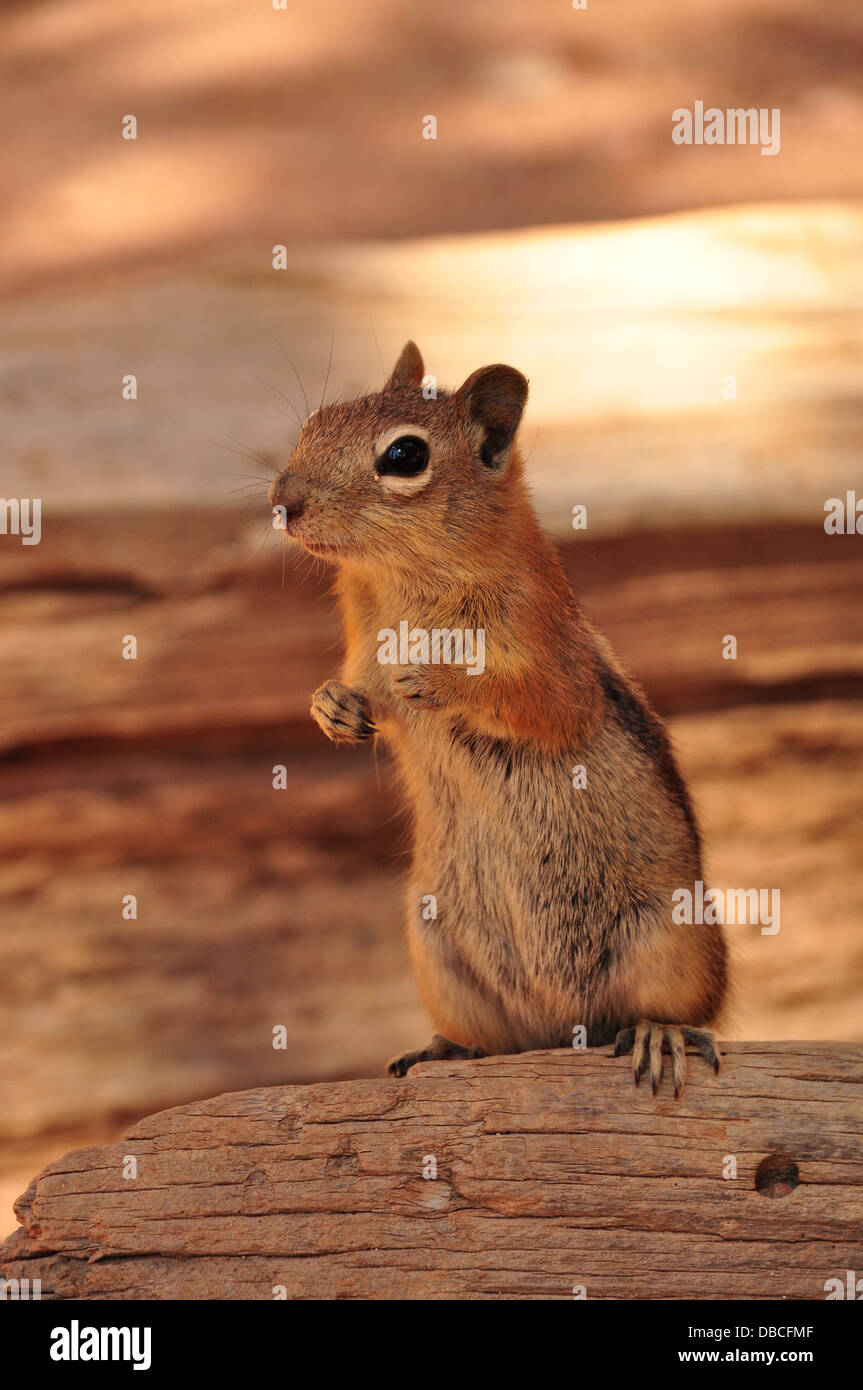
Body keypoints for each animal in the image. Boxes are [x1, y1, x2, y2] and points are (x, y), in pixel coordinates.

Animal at [269, 341, 728, 1097]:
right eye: (314, 421)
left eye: (404, 456)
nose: (283, 502)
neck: (402, 581)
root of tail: (563, 1027)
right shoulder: (363, 650)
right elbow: (364, 696)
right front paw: (331, 705)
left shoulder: (550, 656)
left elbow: (536, 702)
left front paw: (435, 677)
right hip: (436, 947)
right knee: (493, 1038)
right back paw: (449, 1049)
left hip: (669, 940)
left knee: (679, 1010)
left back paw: (656, 1034)